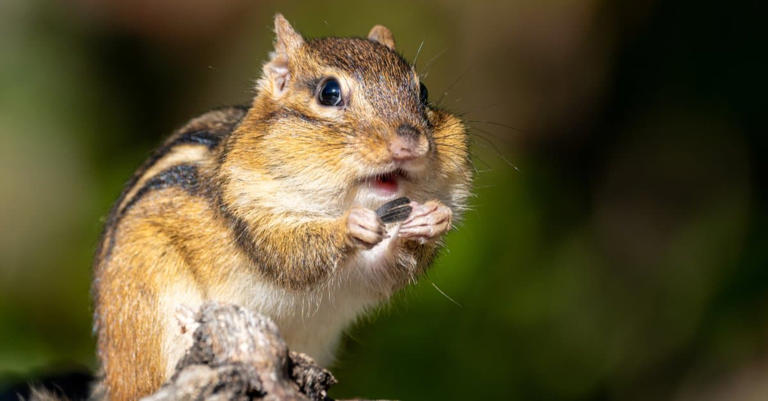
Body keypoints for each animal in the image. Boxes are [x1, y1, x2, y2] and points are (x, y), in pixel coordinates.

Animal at [91, 14, 472, 401]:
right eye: (329, 93)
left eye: (423, 91)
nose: (409, 144)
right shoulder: (248, 208)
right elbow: (291, 253)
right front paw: (351, 226)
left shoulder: (364, 275)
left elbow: (386, 271)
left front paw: (432, 219)